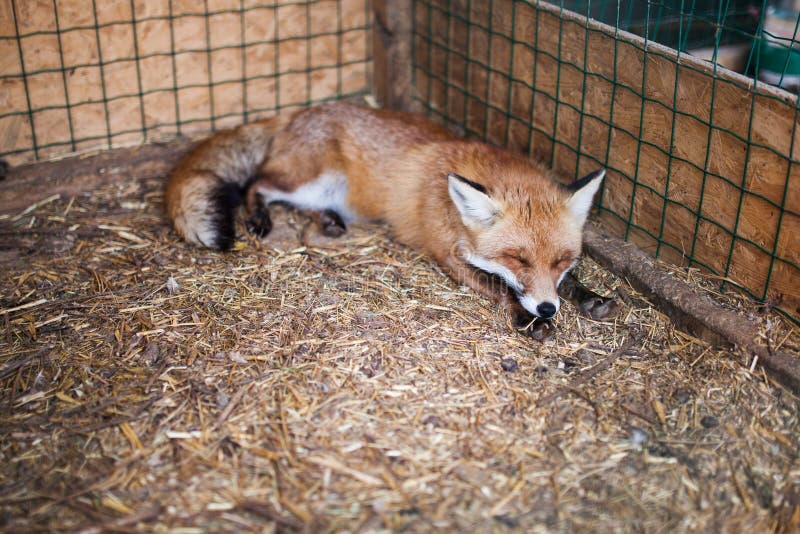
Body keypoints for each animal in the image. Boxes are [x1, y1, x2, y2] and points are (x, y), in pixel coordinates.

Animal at [165, 101, 616, 339]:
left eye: (561, 260)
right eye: (516, 259)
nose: (547, 309)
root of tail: (297, 112)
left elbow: (569, 283)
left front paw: (587, 296)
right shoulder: (445, 254)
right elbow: (499, 288)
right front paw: (526, 317)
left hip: (327, 190)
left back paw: (329, 221)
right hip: (308, 179)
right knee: (256, 183)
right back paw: (259, 218)